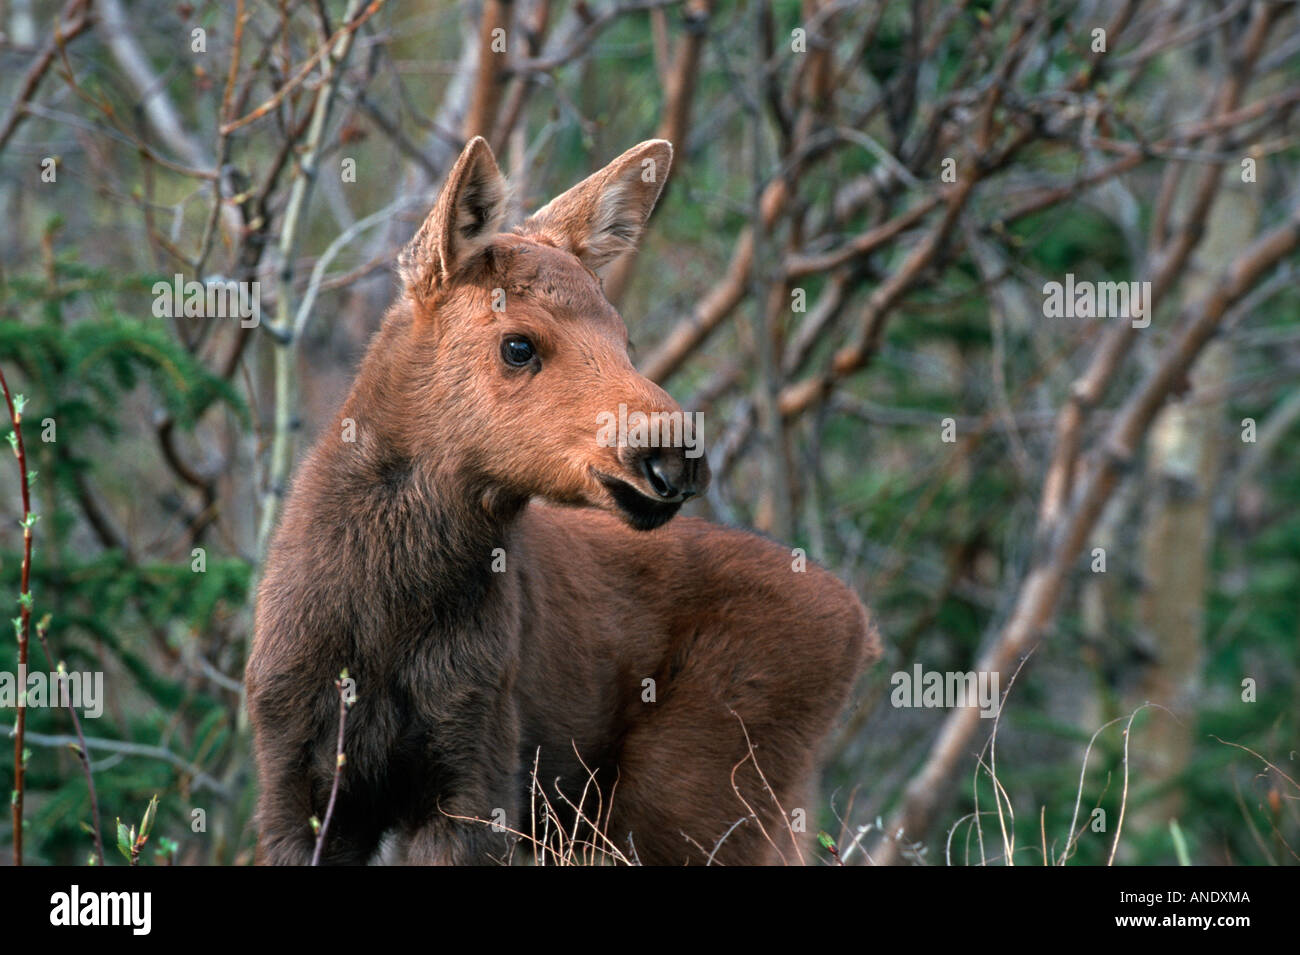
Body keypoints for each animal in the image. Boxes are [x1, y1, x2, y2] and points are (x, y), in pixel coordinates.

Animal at [245, 136, 880, 865]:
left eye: (623, 338)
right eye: (518, 344)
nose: (673, 453)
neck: (380, 622)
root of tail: (863, 628)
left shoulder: (480, 768)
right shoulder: (292, 778)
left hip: (696, 793)